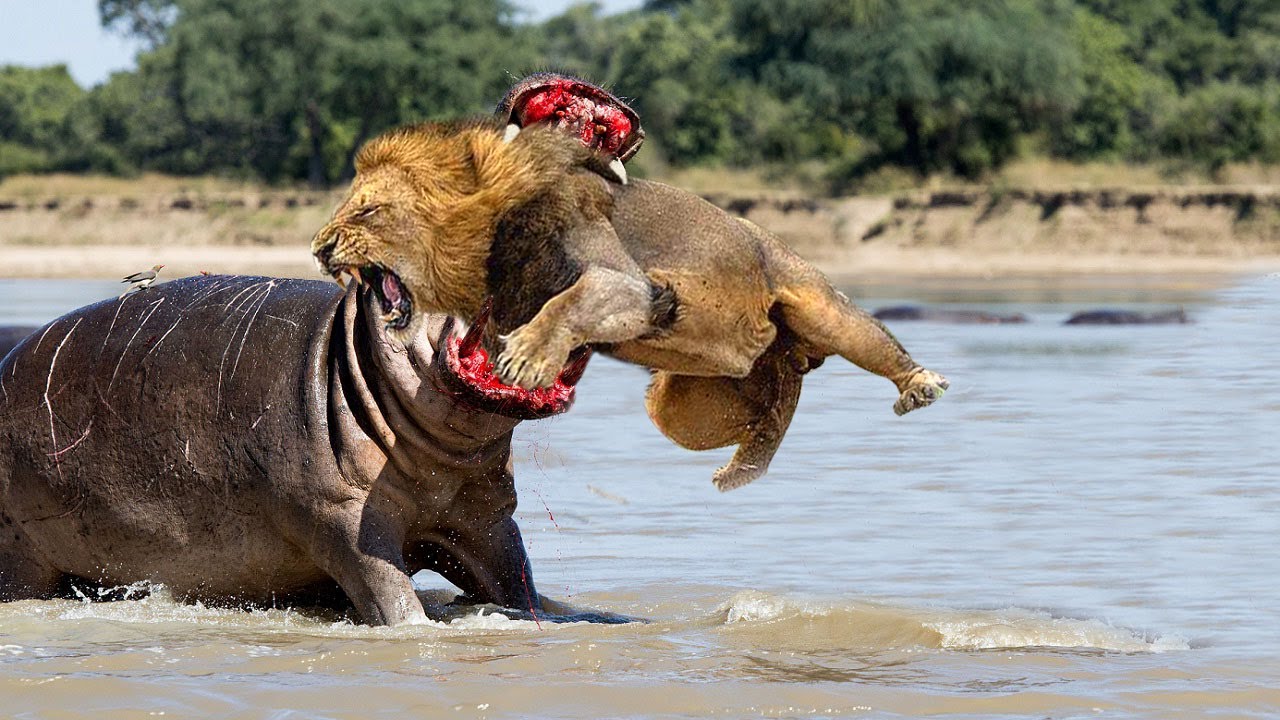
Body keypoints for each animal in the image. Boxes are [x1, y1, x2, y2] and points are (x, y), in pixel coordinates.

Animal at [0, 275, 591, 625]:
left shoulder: (484, 518)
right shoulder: (345, 521)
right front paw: (420, 629)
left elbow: (515, 579)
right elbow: (391, 595)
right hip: (22, 557)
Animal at [312, 117, 948, 490]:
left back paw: (920, 385)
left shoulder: (630, 283)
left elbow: (572, 301)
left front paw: (526, 358)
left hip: (814, 299)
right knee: (775, 406)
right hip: (678, 407)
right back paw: (740, 469)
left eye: (367, 211)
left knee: (859, 337)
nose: (318, 248)